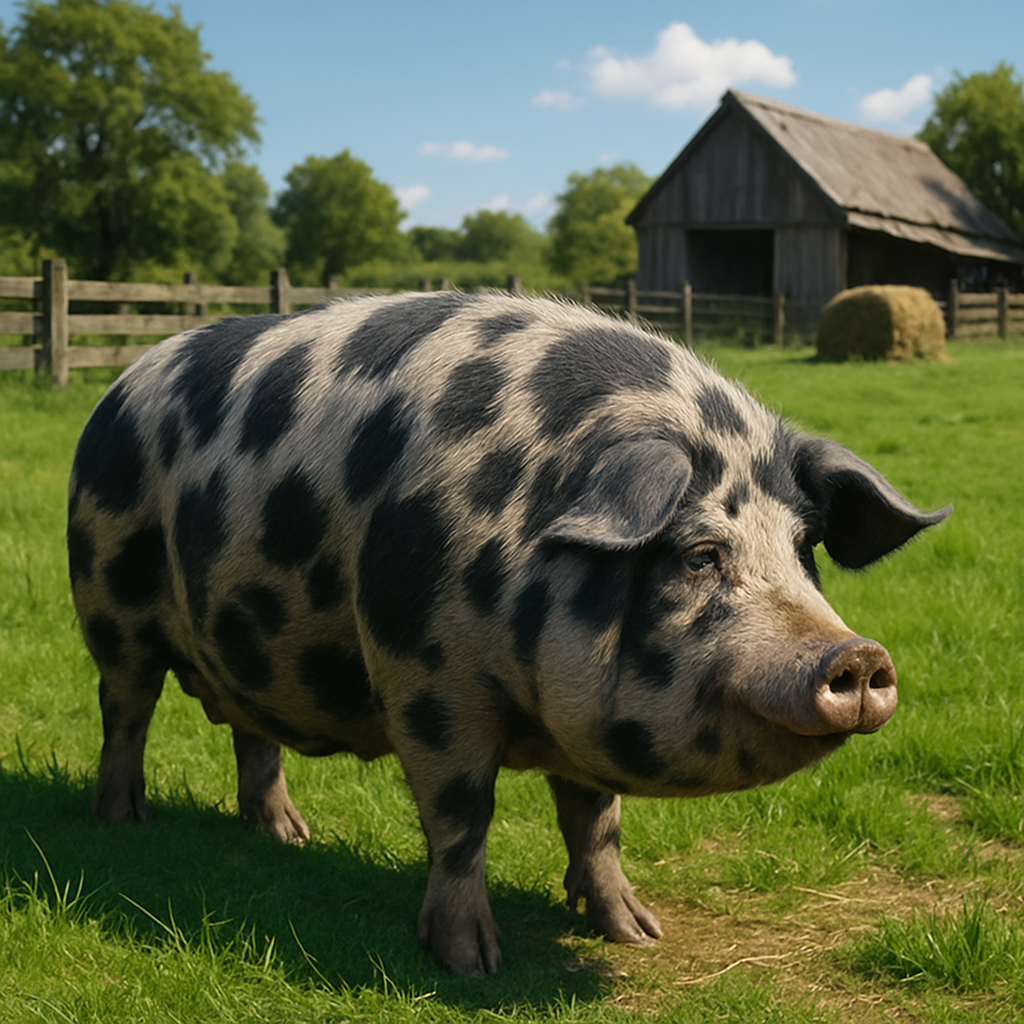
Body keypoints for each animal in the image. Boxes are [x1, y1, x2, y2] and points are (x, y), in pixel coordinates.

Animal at [67, 292, 950, 975]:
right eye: (699, 554)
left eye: (804, 551)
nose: (857, 656)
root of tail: (118, 384)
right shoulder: (424, 678)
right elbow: (462, 815)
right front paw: (473, 963)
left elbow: (597, 821)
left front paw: (640, 934)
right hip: (107, 598)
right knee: (125, 711)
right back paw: (122, 820)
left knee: (253, 732)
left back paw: (287, 836)